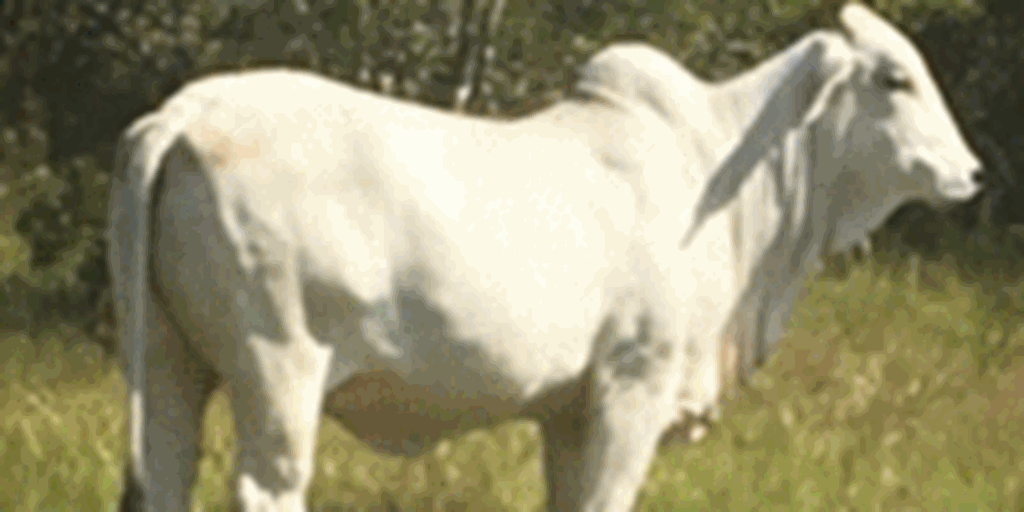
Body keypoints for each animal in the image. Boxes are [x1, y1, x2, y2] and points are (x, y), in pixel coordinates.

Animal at [106, 3, 982, 511]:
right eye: (894, 78)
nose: (970, 172)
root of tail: (186, 113)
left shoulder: (568, 408)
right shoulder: (635, 385)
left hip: (171, 362)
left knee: (167, 474)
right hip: (279, 370)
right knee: (267, 487)